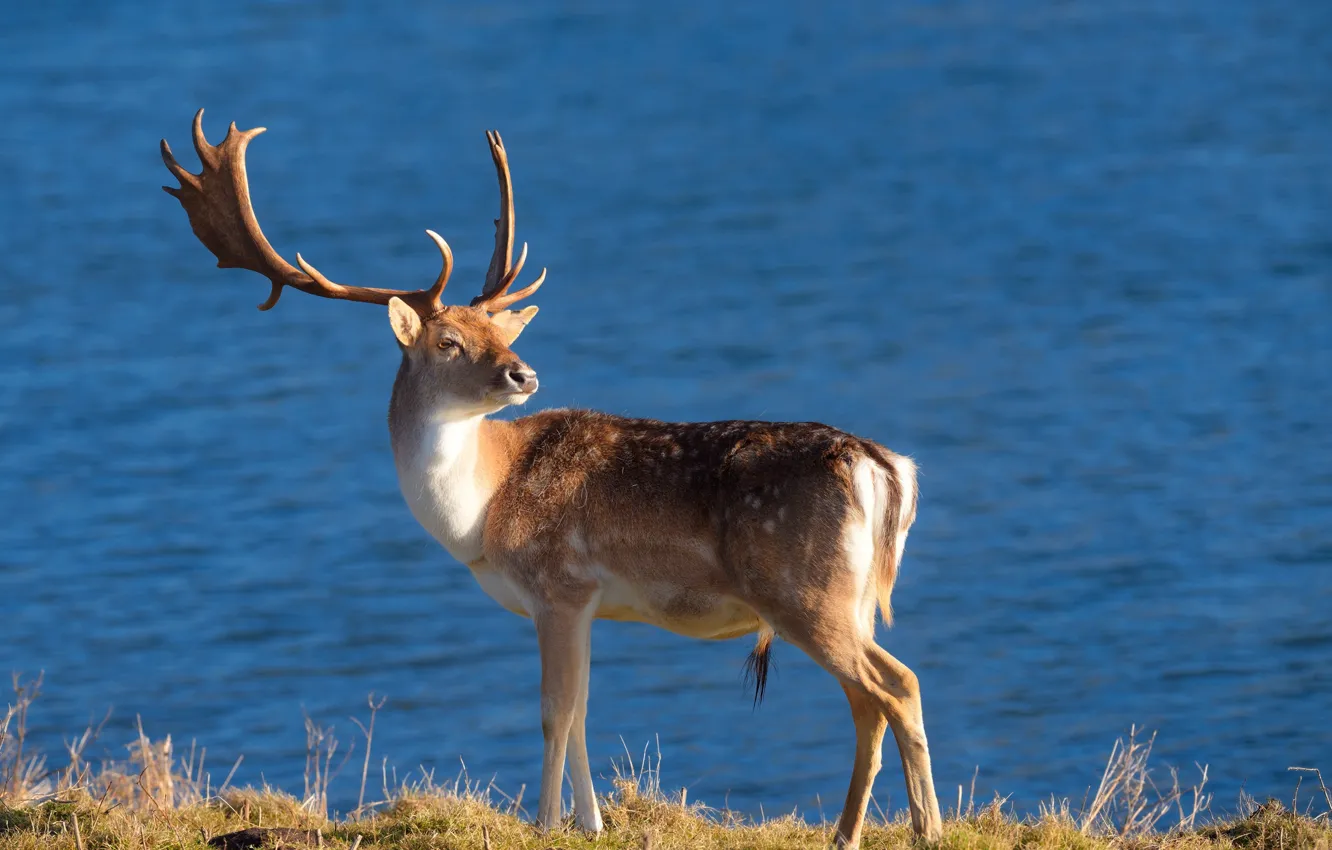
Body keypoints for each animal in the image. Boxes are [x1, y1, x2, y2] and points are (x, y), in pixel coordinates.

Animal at [161, 110, 944, 848]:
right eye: (450, 341)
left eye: (502, 334)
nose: (523, 373)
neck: (481, 511)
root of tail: (886, 466)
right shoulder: (587, 602)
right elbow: (585, 711)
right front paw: (590, 822)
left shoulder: (558, 584)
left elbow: (553, 712)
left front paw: (543, 822)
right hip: (850, 598)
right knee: (870, 698)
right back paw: (859, 829)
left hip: (803, 589)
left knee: (896, 683)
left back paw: (916, 828)